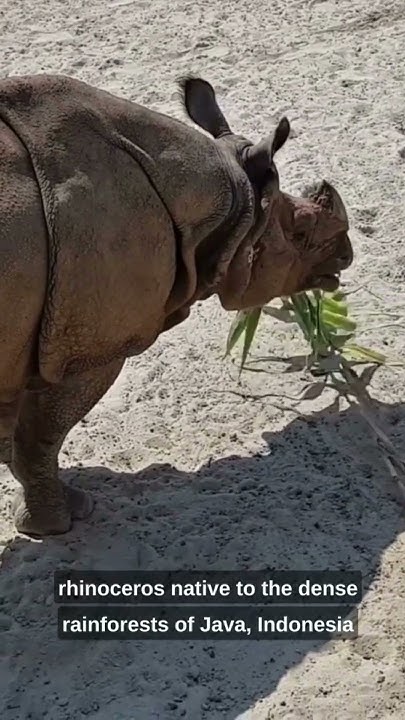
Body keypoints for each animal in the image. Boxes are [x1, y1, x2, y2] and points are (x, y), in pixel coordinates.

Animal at [0, 73, 353, 536]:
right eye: (300, 232)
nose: (345, 258)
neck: (234, 203)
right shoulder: (90, 350)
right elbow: (40, 435)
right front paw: (58, 524)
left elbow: (17, 435)